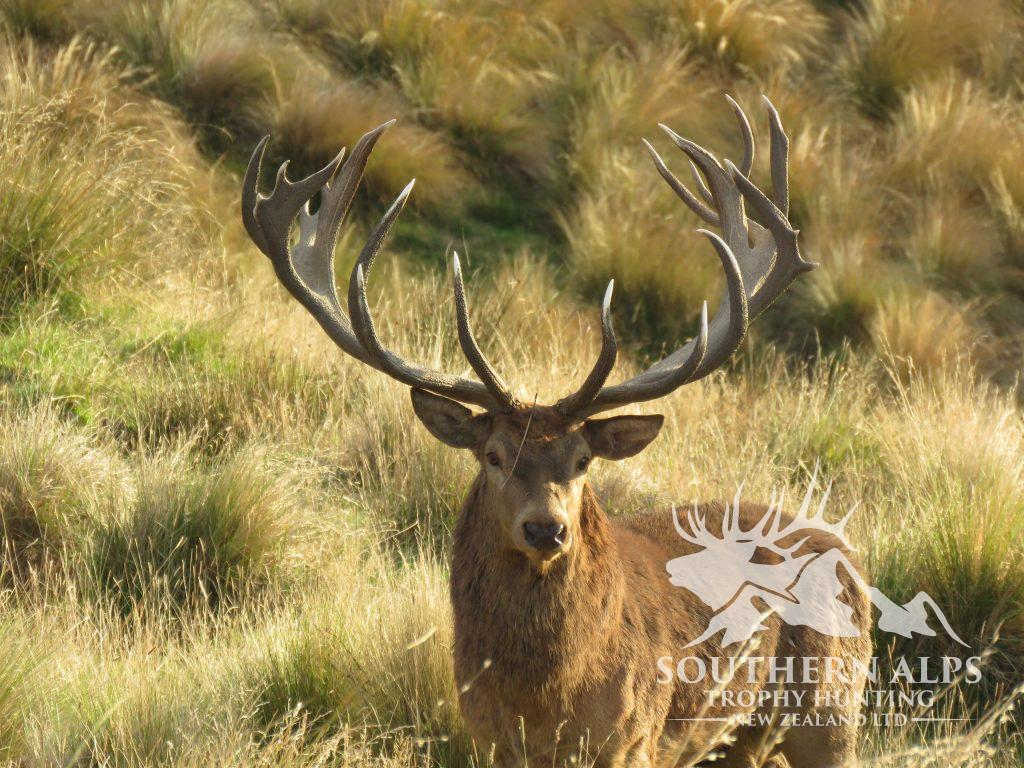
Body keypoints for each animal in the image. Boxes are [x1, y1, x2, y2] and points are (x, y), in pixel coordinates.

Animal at [241, 95, 873, 768]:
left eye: (582, 459)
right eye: (492, 456)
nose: (546, 528)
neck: (544, 708)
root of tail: (851, 558)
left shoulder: (634, 737)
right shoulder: (487, 739)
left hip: (831, 708)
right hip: (742, 739)